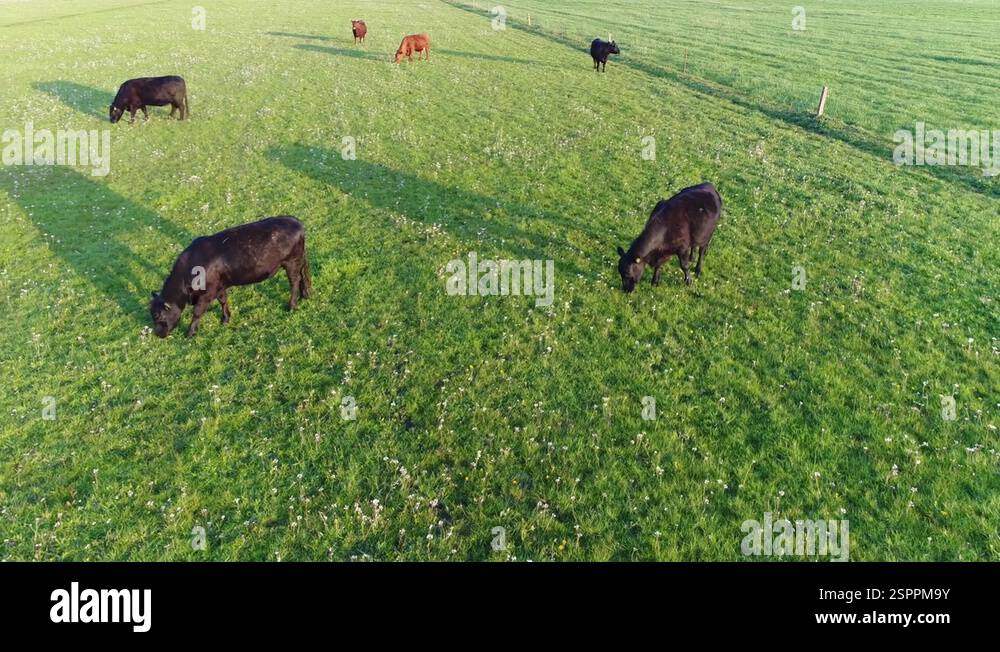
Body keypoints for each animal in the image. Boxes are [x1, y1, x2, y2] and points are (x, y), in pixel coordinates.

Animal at [149, 216, 312, 337]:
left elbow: (197, 313)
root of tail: (296, 221)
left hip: (291, 261)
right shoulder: (219, 286)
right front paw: (226, 318)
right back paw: (305, 295)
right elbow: (223, 301)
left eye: (157, 316)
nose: (158, 334)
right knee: (303, 275)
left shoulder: (207, 294)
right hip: (298, 259)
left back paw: (292, 305)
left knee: (294, 282)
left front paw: (190, 333)